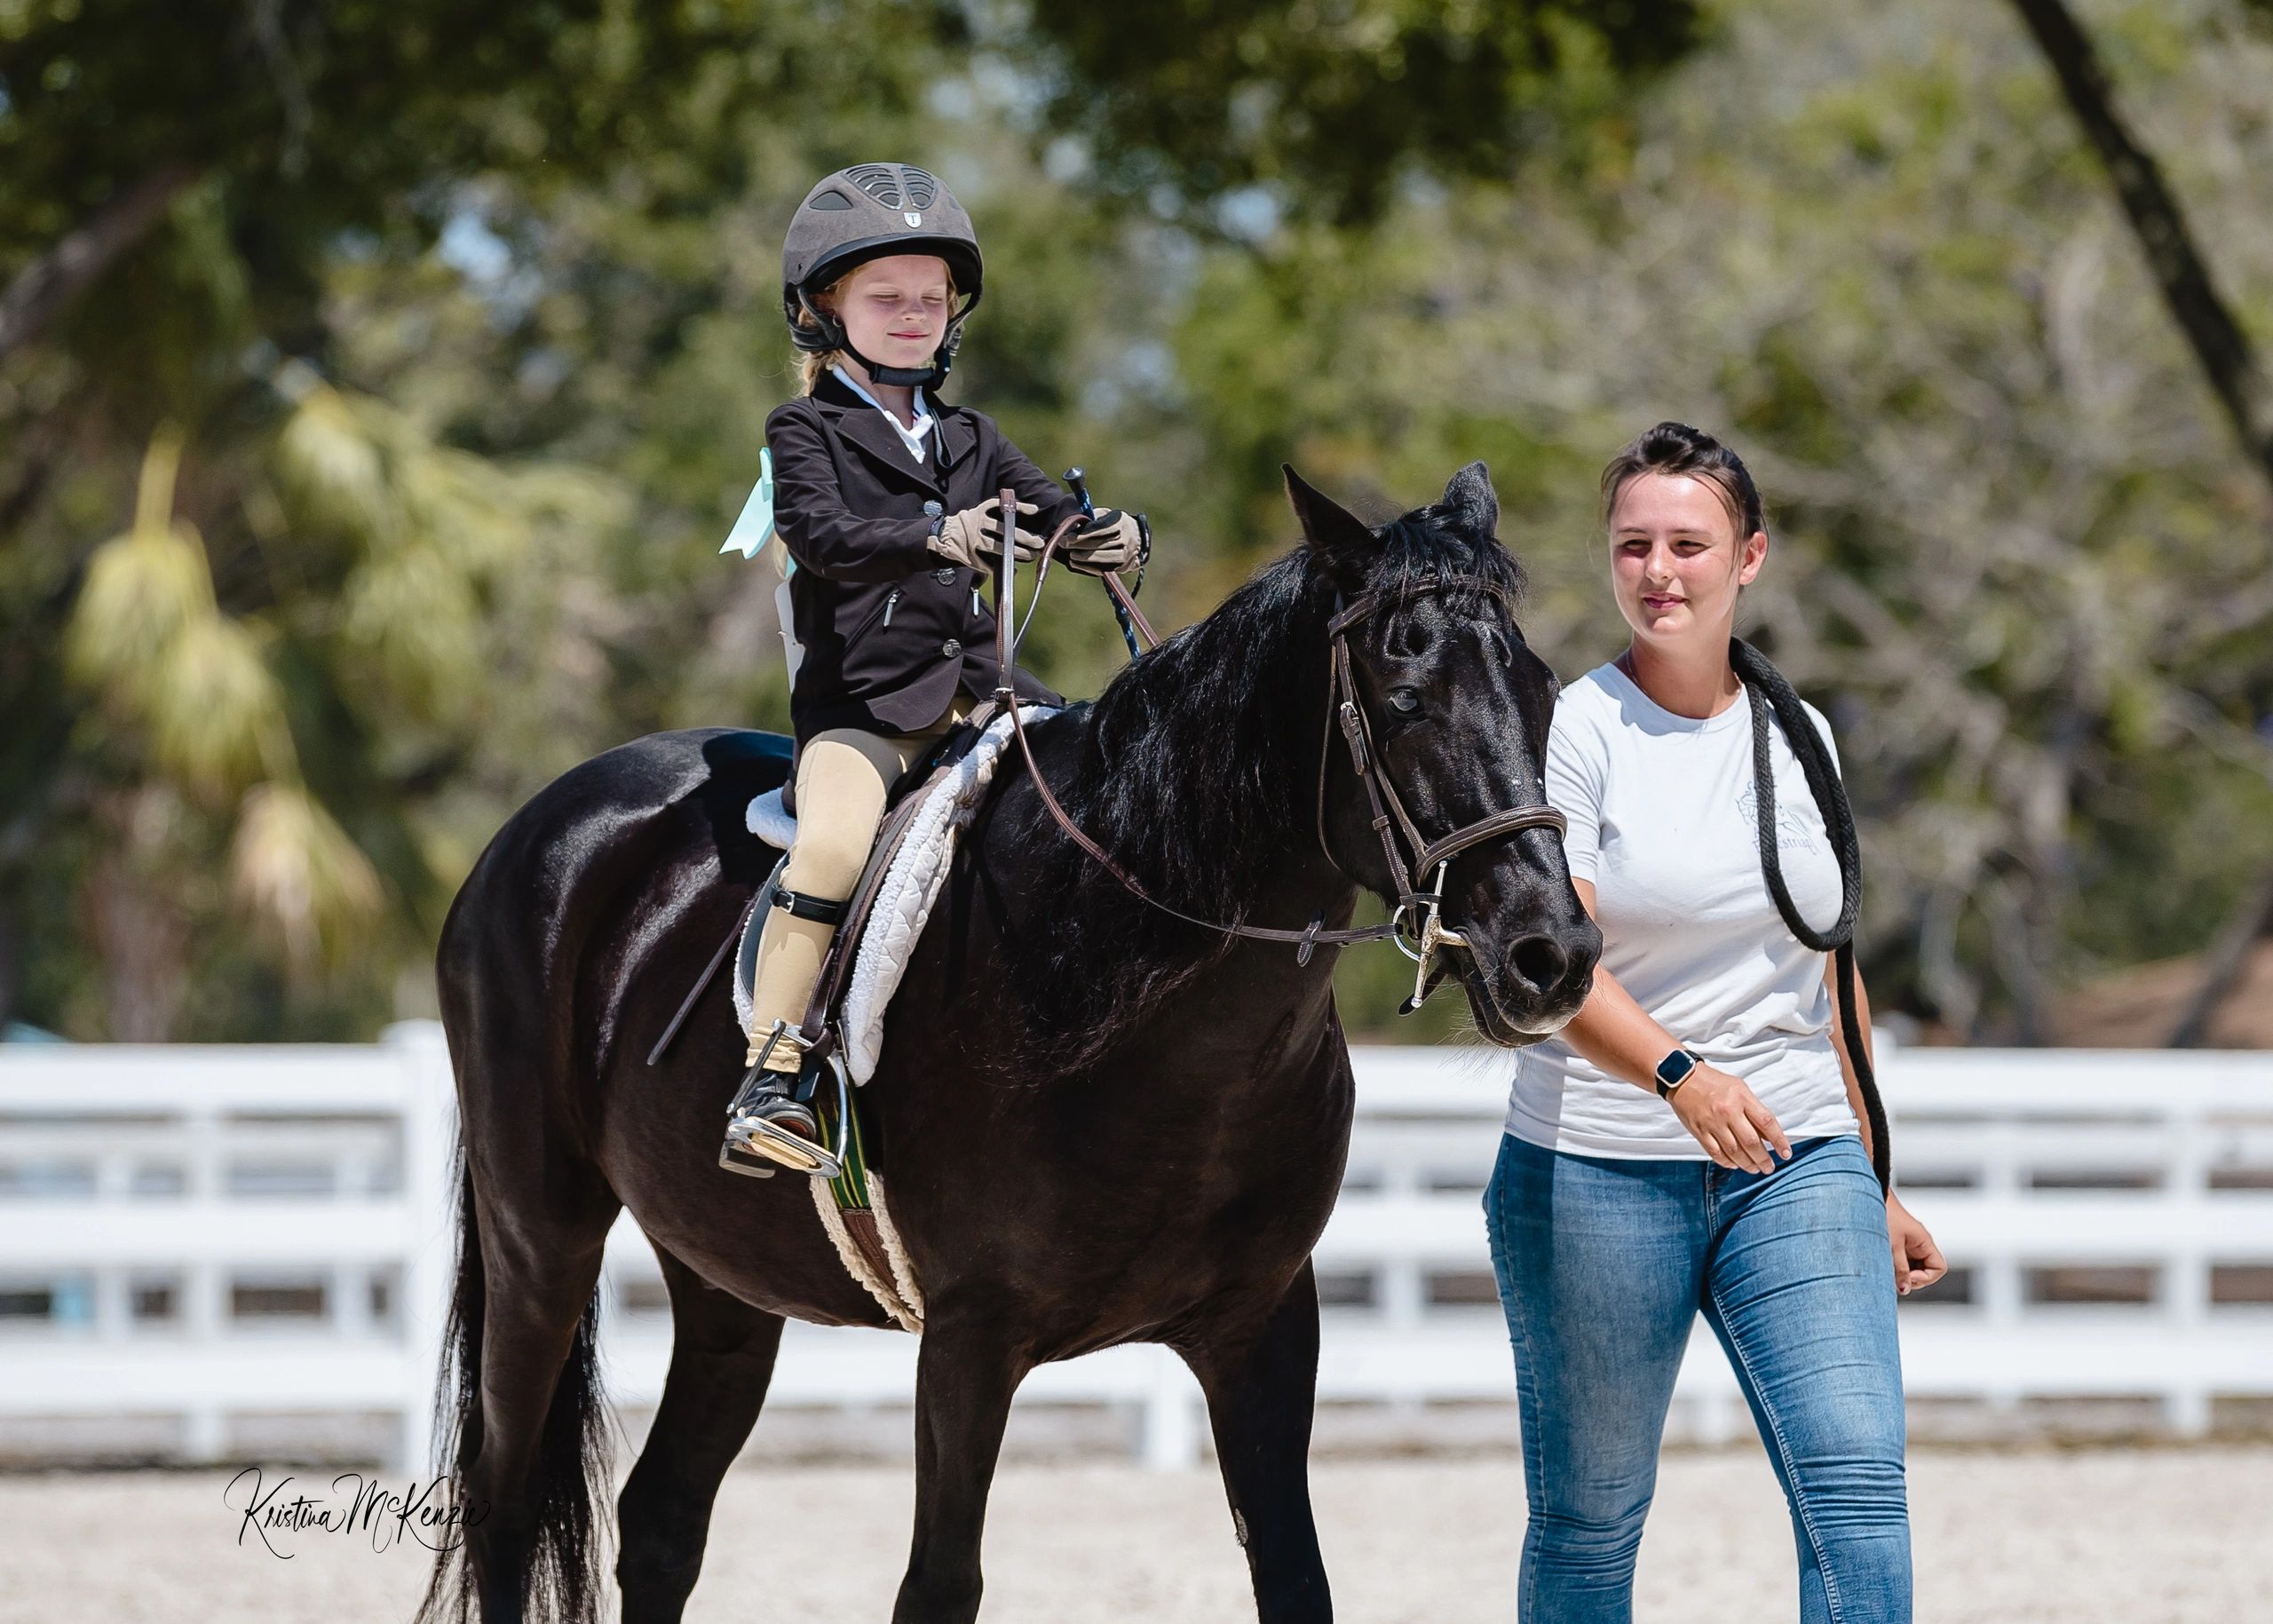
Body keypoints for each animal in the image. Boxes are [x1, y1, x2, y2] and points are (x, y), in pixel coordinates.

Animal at [416, 460, 1601, 1624]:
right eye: (1404, 705)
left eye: (1542, 693)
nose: (1551, 954)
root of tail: (551, 818)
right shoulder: (970, 1337)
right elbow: (939, 1583)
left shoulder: (1261, 1325)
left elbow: (1294, 1575)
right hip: (541, 1239)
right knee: (506, 1501)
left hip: (724, 1276)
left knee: (663, 1521)